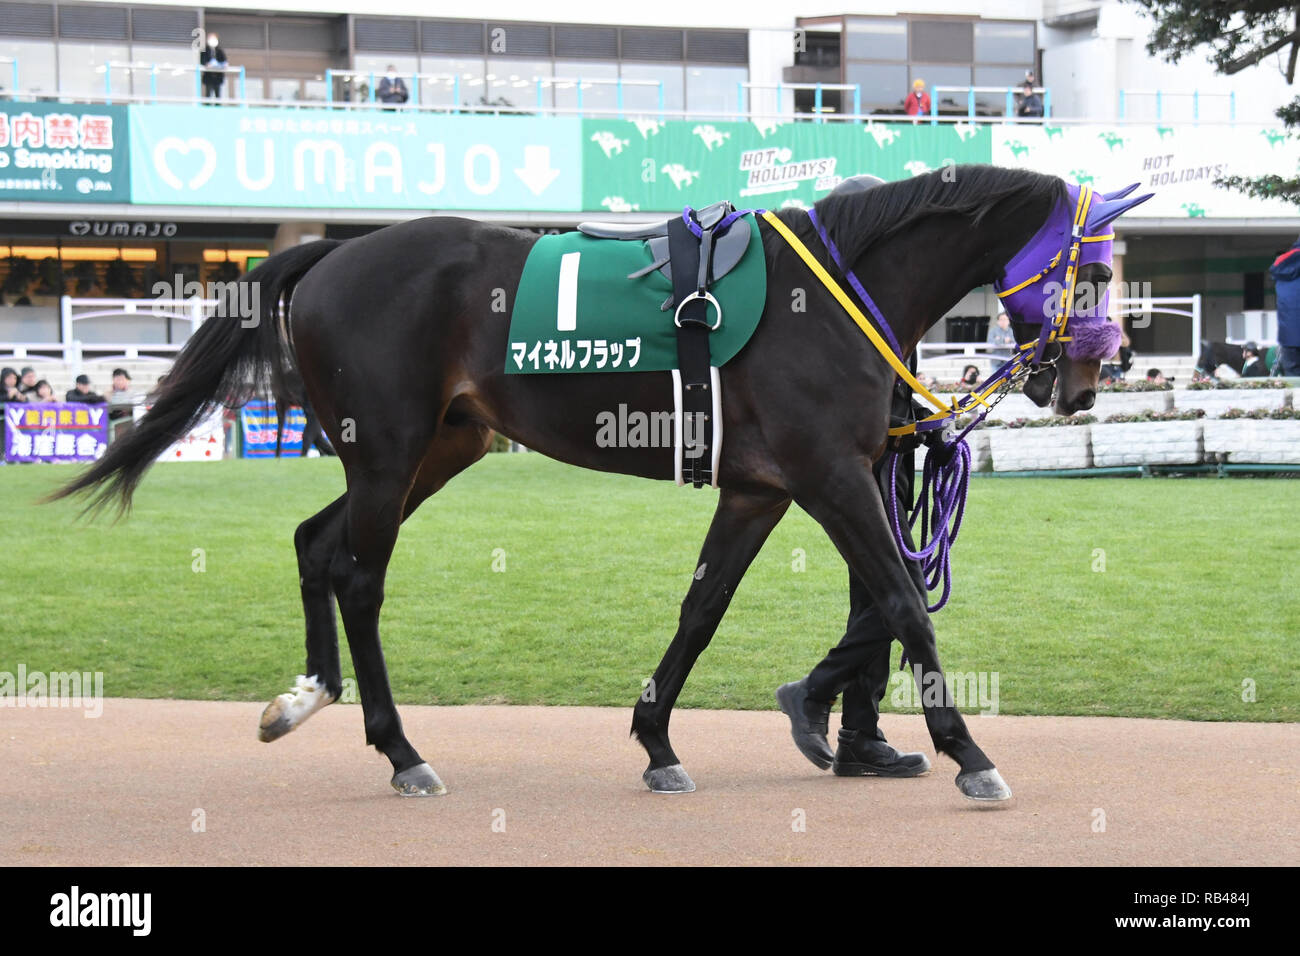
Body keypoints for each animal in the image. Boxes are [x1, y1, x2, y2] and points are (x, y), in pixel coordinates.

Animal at [50, 165, 1149, 801]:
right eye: (1093, 272)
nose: (1091, 377)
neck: (833, 292)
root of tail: (330, 254)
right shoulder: (829, 472)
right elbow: (902, 601)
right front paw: (968, 751)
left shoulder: (760, 487)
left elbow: (708, 608)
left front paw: (665, 738)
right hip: (388, 449)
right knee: (358, 576)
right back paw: (401, 750)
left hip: (436, 447)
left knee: (317, 545)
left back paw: (305, 697)